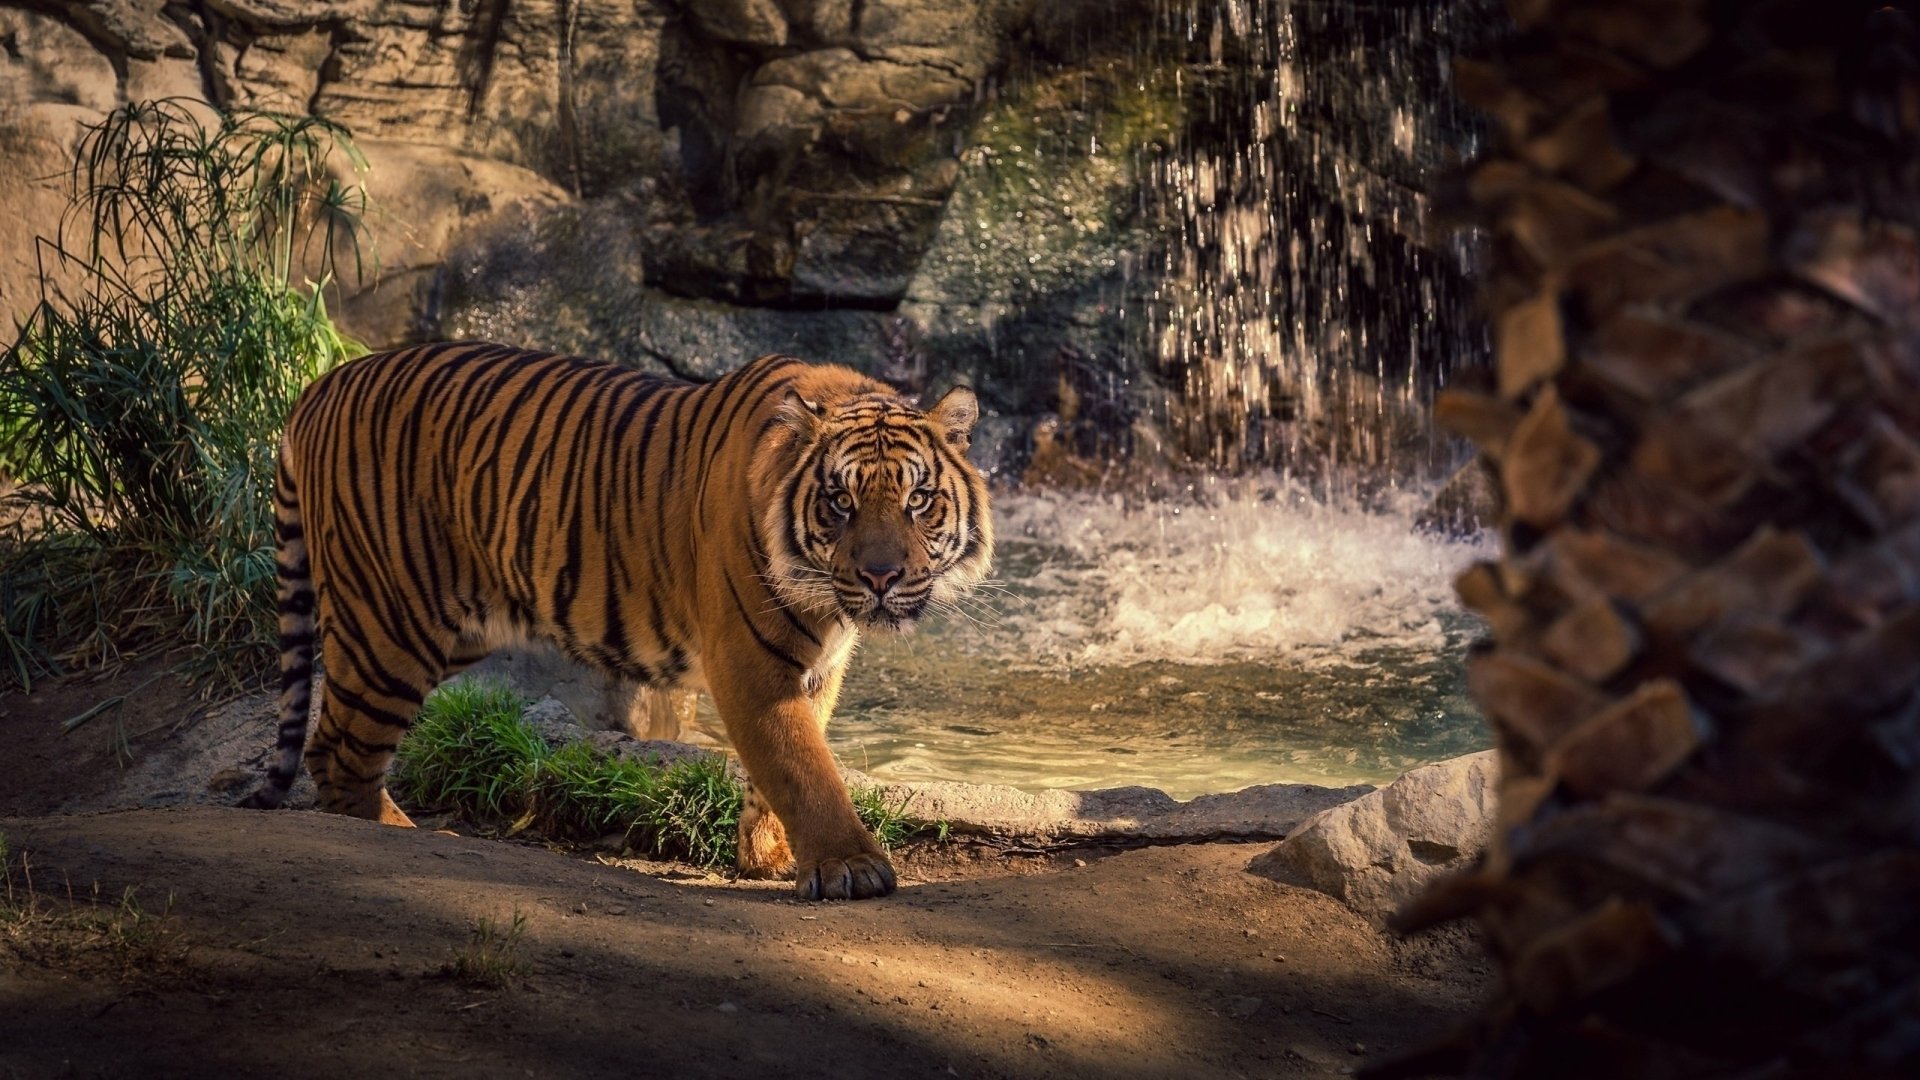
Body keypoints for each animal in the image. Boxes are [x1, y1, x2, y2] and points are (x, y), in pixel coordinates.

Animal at [238, 343, 993, 901]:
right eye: (839, 501)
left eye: (918, 499)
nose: (880, 577)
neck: (824, 598)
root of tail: (321, 383)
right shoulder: (750, 662)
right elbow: (803, 764)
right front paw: (848, 867)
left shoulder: (819, 667)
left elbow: (787, 762)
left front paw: (768, 855)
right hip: (387, 625)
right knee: (339, 752)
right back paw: (408, 835)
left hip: (451, 624)